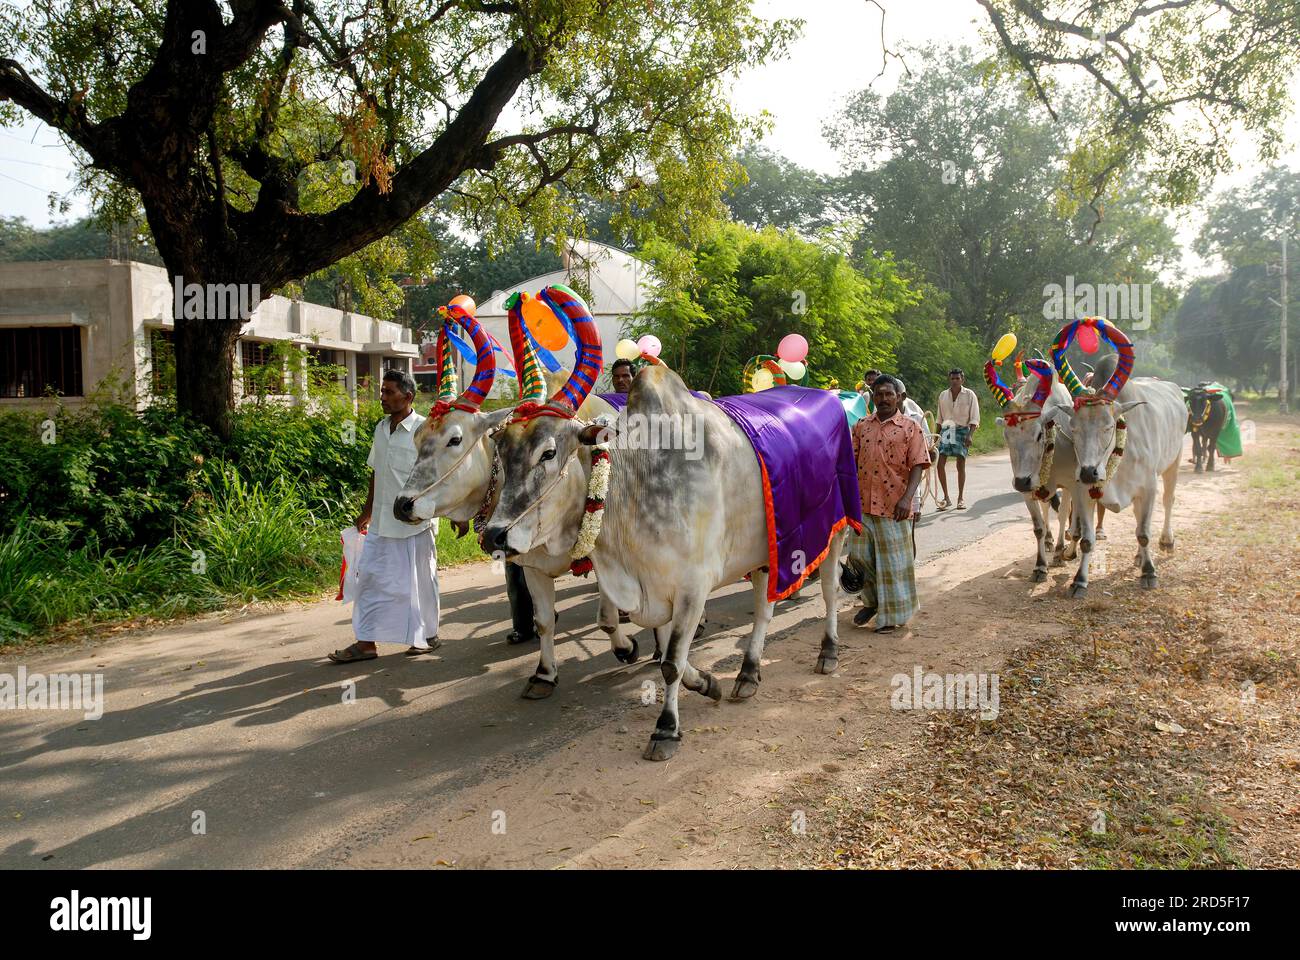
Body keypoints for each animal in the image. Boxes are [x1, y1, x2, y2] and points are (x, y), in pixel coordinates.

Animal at [481, 286, 854, 761]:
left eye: (548, 452)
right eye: (500, 450)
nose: (495, 534)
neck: (637, 480)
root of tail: (828, 397)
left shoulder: (694, 585)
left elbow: (673, 661)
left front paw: (666, 728)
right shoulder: (653, 588)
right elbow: (666, 655)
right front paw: (709, 683)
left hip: (832, 531)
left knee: (828, 591)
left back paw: (829, 651)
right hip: (766, 550)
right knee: (764, 607)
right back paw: (748, 673)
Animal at [1045, 318, 1185, 596]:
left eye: (1109, 426)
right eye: (1073, 427)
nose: (1088, 472)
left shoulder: (1148, 487)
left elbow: (1144, 533)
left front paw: (1149, 573)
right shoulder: (1083, 491)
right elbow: (1087, 540)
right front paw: (1079, 581)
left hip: (1173, 463)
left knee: (1168, 501)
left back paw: (1166, 541)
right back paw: (1139, 557)